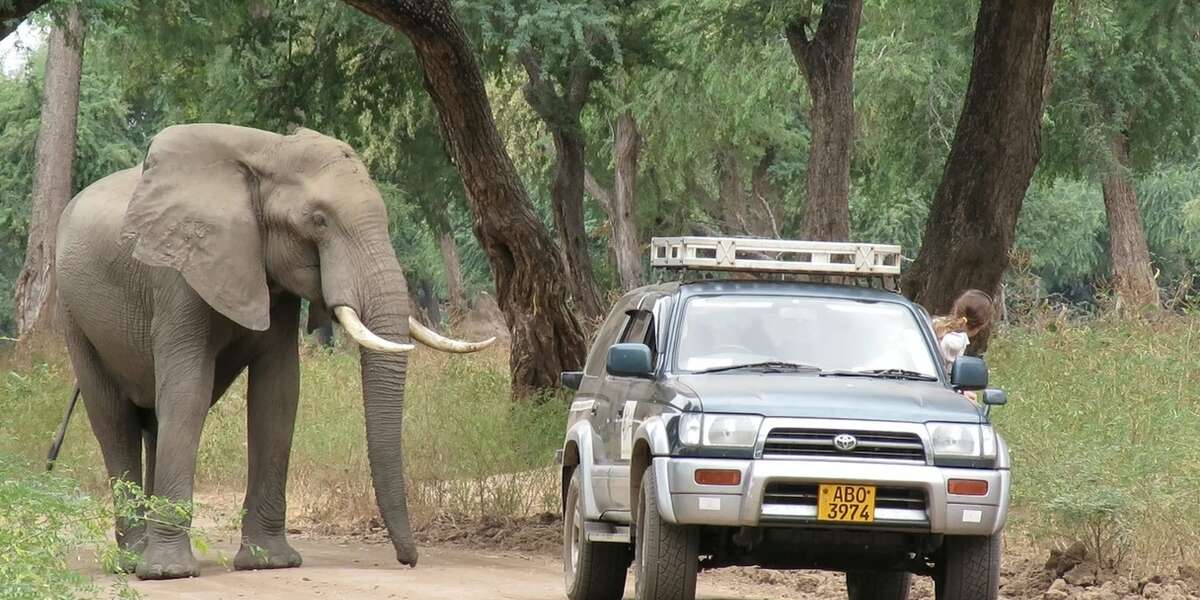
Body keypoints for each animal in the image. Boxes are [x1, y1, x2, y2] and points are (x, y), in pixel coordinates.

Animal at [54, 123, 494, 580]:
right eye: (317, 220)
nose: (409, 561)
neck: (268, 151)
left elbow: (277, 394)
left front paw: (269, 563)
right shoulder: (178, 274)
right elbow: (189, 391)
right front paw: (169, 573)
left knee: (154, 420)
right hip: (73, 314)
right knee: (113, 418)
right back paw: (134, 563)